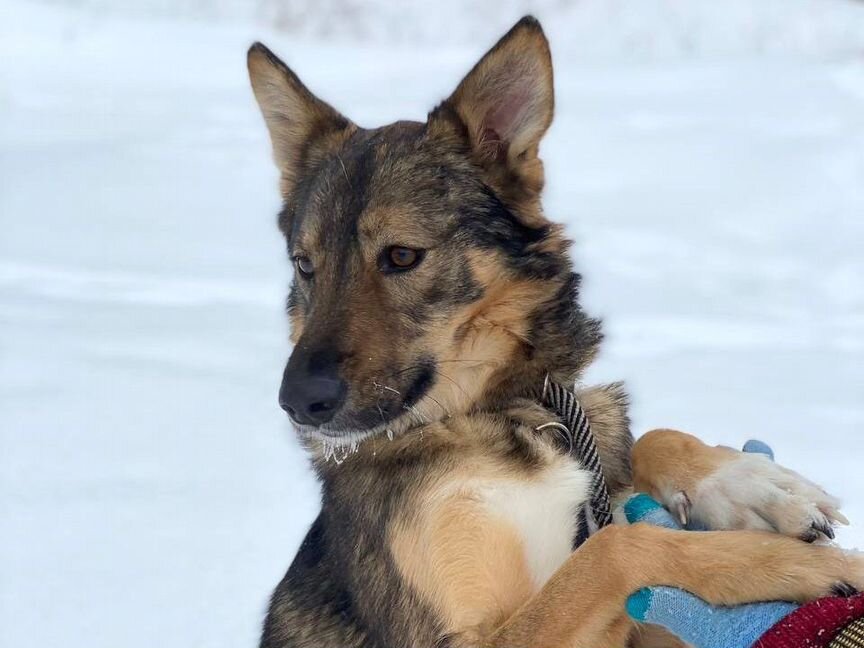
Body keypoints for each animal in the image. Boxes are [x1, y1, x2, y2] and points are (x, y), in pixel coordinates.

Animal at [246, 15, 860, 648]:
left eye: (401, 256)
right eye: (305, 265)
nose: (297, 402)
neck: (492, 415)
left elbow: (646, 441)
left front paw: (749, 483)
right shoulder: (457, 638)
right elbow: (617, 546)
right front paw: (799, 564)